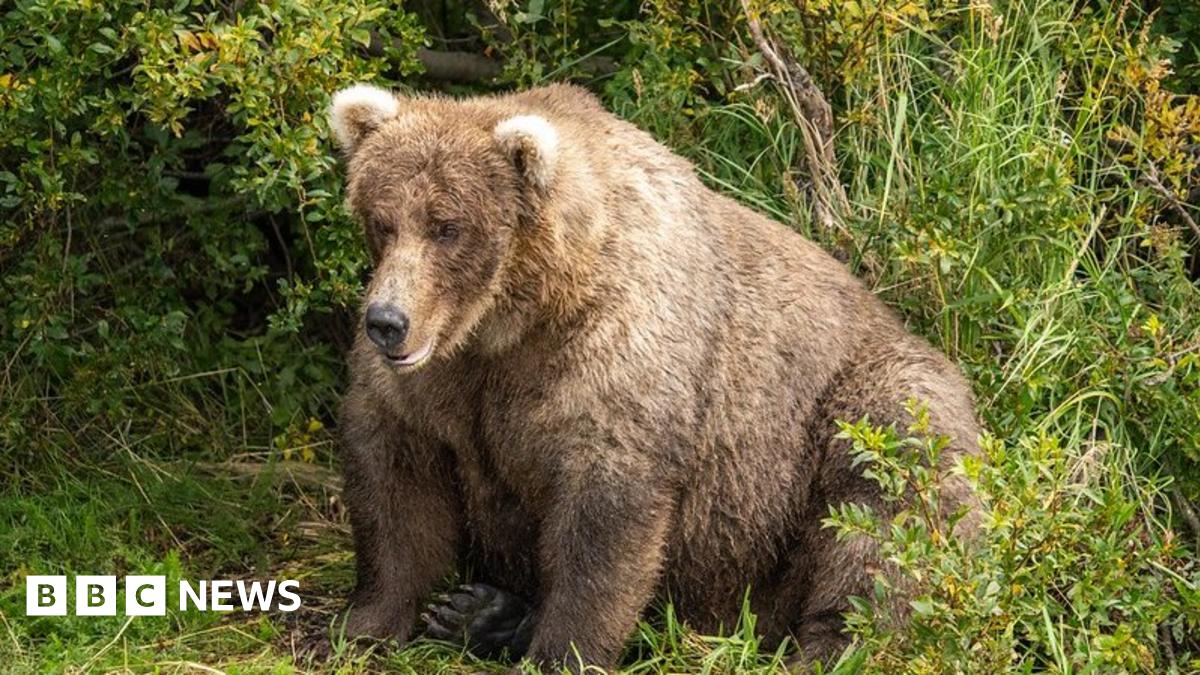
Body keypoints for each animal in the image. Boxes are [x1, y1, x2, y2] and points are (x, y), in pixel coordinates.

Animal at [326, 82, 981, 671]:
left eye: (448, 226)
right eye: (383, 220)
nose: (387, 321)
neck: (513, 321)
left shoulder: (614, 360)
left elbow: (605, 519)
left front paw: (562, 653)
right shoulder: (439, 385)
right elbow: (395, 485)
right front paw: (364, 626)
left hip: (854, 414)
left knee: (884, 514)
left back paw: (828, 649)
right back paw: (483, 612)